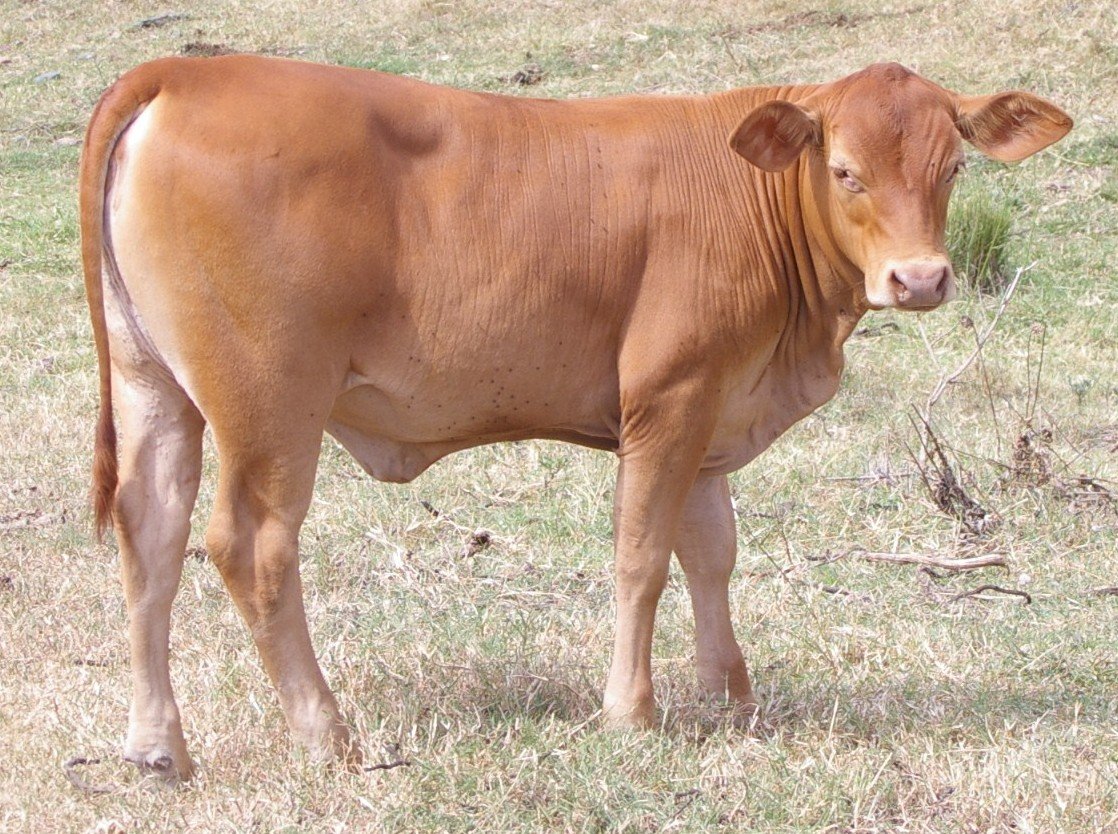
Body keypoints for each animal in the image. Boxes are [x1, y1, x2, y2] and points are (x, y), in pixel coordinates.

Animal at [79, 56, 1071, 779]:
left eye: (953, 167)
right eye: (844, 170)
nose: (922, 278)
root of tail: (189, 70)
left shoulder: (711, 410)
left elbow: (711, 554)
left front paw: (732, 701)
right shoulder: (669, 398)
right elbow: (643, 557)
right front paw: (631, 713)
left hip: (153, 387)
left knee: (151, 535)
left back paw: (156, 746)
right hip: (272, 398)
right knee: (251, 546)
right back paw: (329, 735)